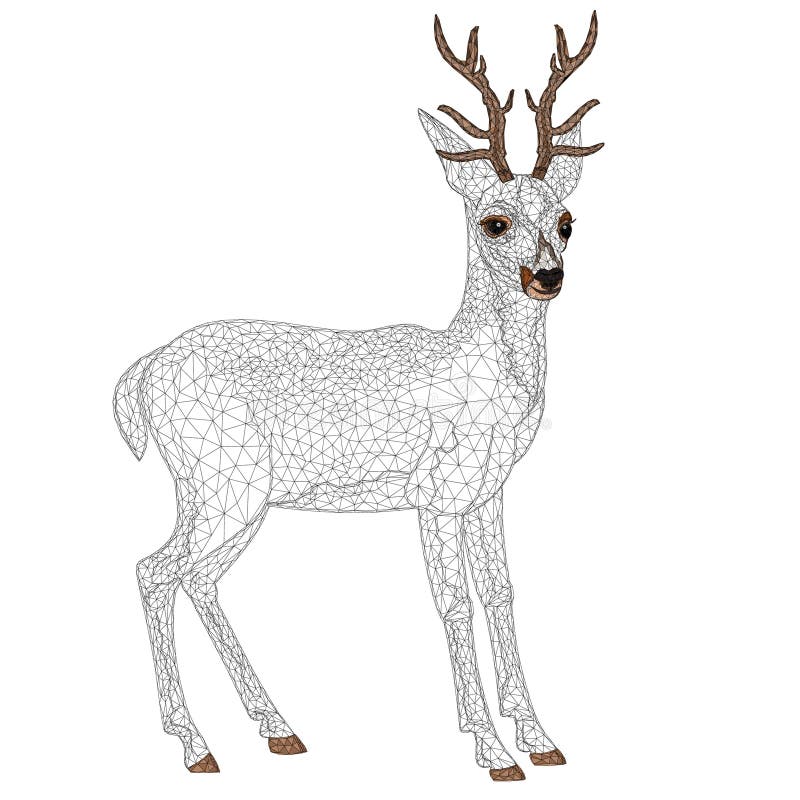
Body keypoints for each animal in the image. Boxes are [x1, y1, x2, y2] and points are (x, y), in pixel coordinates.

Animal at [113, 12, 603, 781]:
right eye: (493, 221)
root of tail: (141, 372)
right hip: (224, 482)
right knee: (156, 570)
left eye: (567, 220)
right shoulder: (437, 493)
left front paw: (540, 737)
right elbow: (453, 601)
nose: (547, 277)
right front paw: (492, 750)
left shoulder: (487, 491)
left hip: (225, 495)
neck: (479, 377)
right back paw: (197, 747)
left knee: (194, 577)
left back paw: (277, 730)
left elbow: (501, 590)